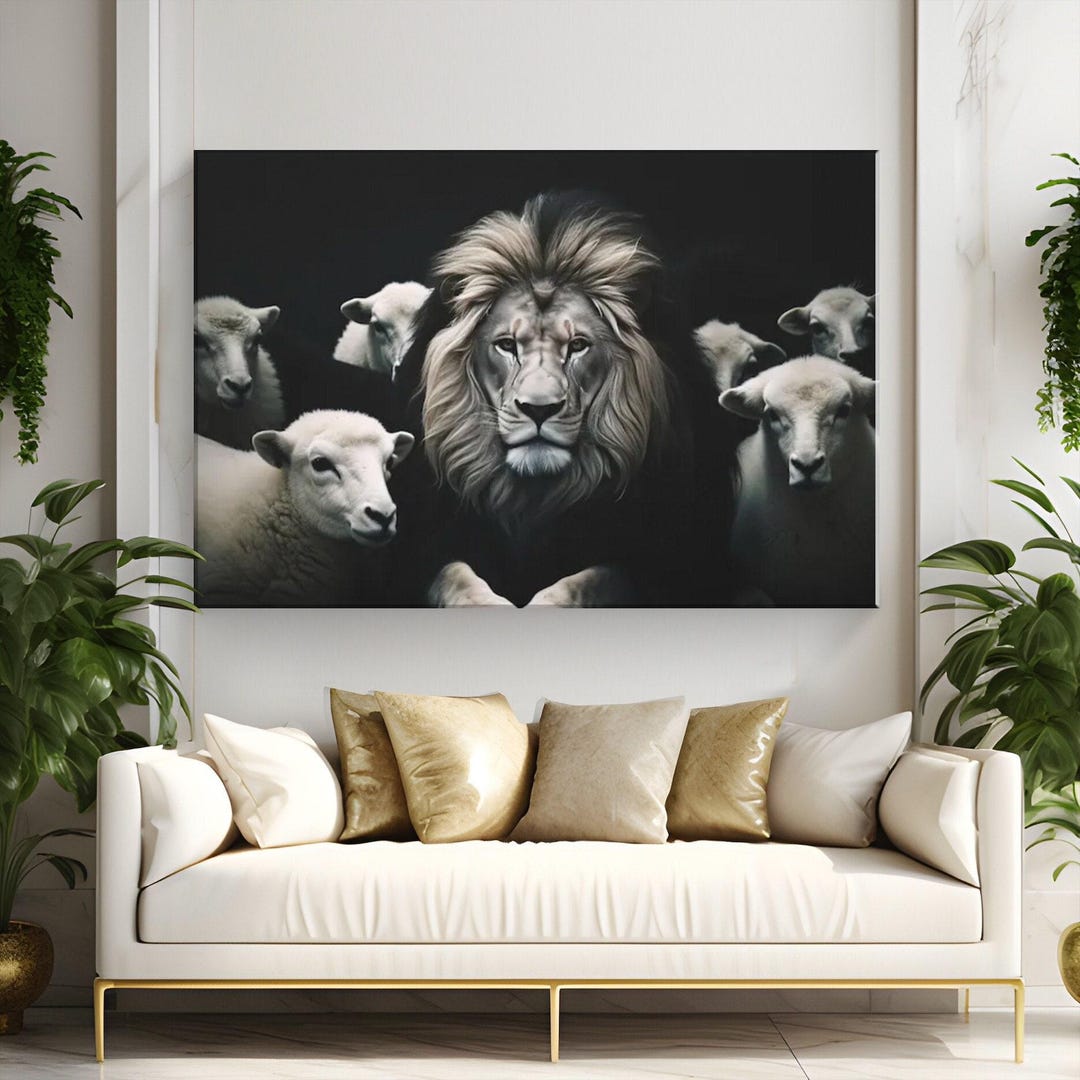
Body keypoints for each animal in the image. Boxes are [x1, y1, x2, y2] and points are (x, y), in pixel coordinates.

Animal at [391, 192, 733, 607]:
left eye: (578, 346)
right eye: (507, 345)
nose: (539, 409)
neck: (533, 500)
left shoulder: (667, 559)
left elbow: (590, 579)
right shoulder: (426, 542)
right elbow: (455, 576)